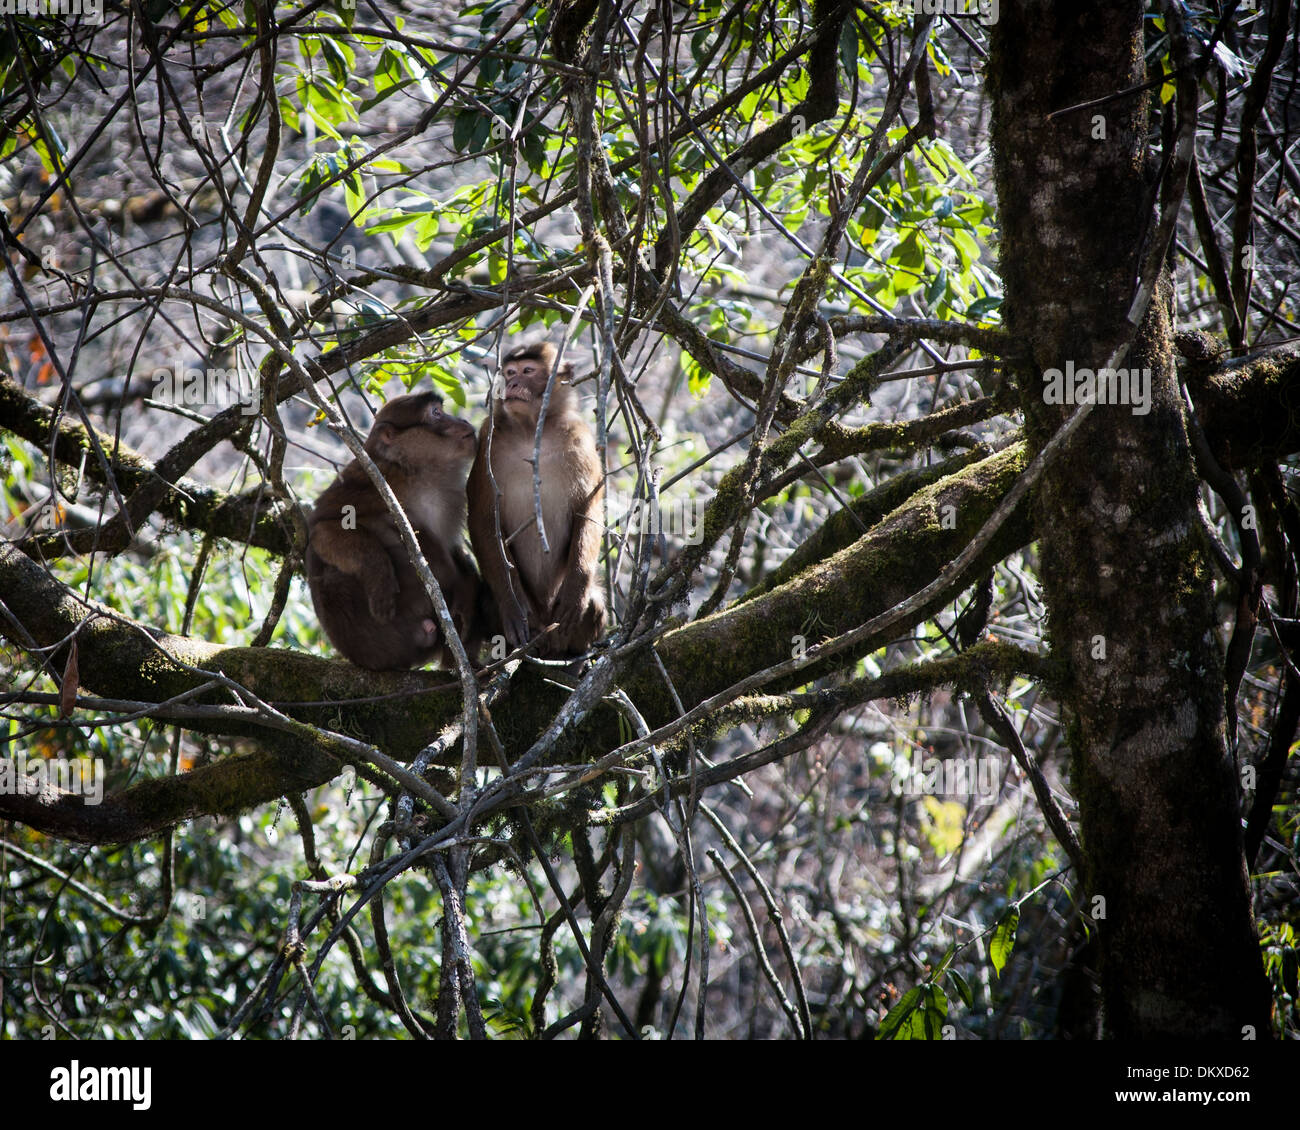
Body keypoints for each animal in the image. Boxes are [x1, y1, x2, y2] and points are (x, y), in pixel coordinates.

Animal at [306, 392, 482, 671]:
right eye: (436, 413)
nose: (463, 420)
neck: (419, 472)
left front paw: (468, 587)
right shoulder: (379, 479)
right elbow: (323, 528)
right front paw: (381, 578)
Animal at [467, 341, 606, 658]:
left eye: (528, 371)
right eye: (510, 373)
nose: (512, 384)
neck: (532, 431)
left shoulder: (580, 438)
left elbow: (589, 507)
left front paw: (576, 589)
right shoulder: (489, 440)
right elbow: (482, 517)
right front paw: (513, 608)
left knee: (593, 603)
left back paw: (575, 656)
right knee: (489, 603)